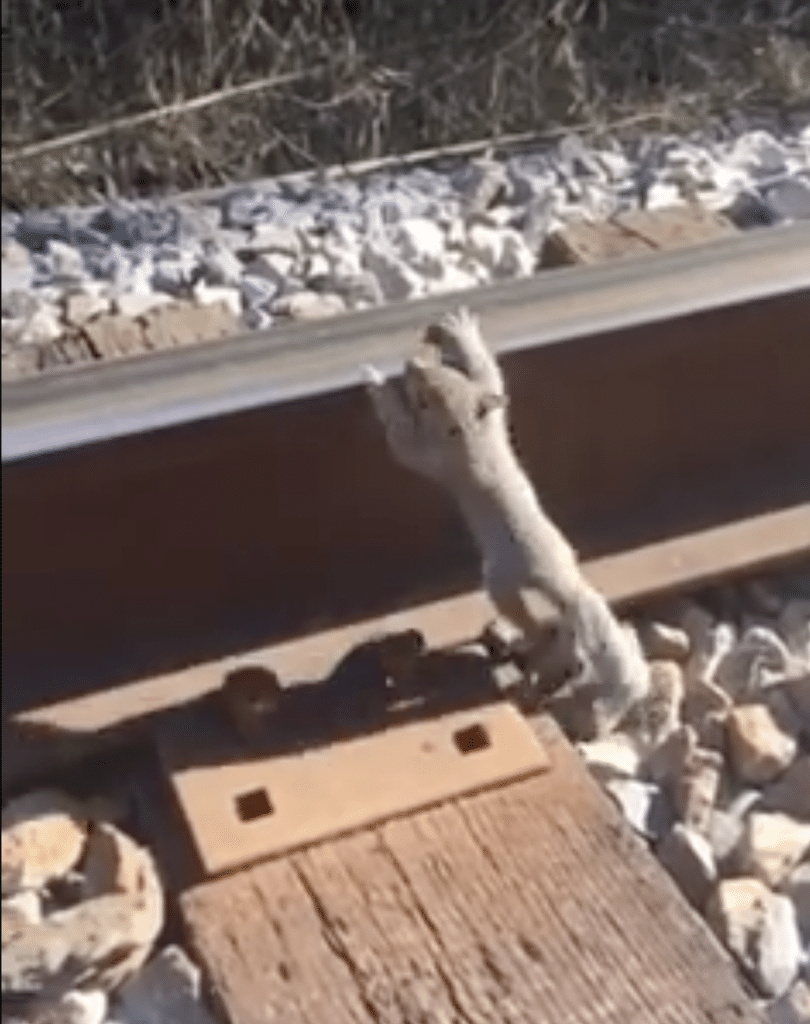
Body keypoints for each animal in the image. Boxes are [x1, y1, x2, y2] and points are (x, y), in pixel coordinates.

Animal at [363, 307, 649, 738]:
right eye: (446, 371)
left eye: (426, 401)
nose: (411, 364)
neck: (471, 434)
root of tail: (563, 581)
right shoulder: (492, 412)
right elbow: (489, 374)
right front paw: (459, 330)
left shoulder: (435, 456)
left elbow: (403, 444)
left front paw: (375, 382)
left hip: (500, 579)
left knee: (525, 617)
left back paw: (528, 640)